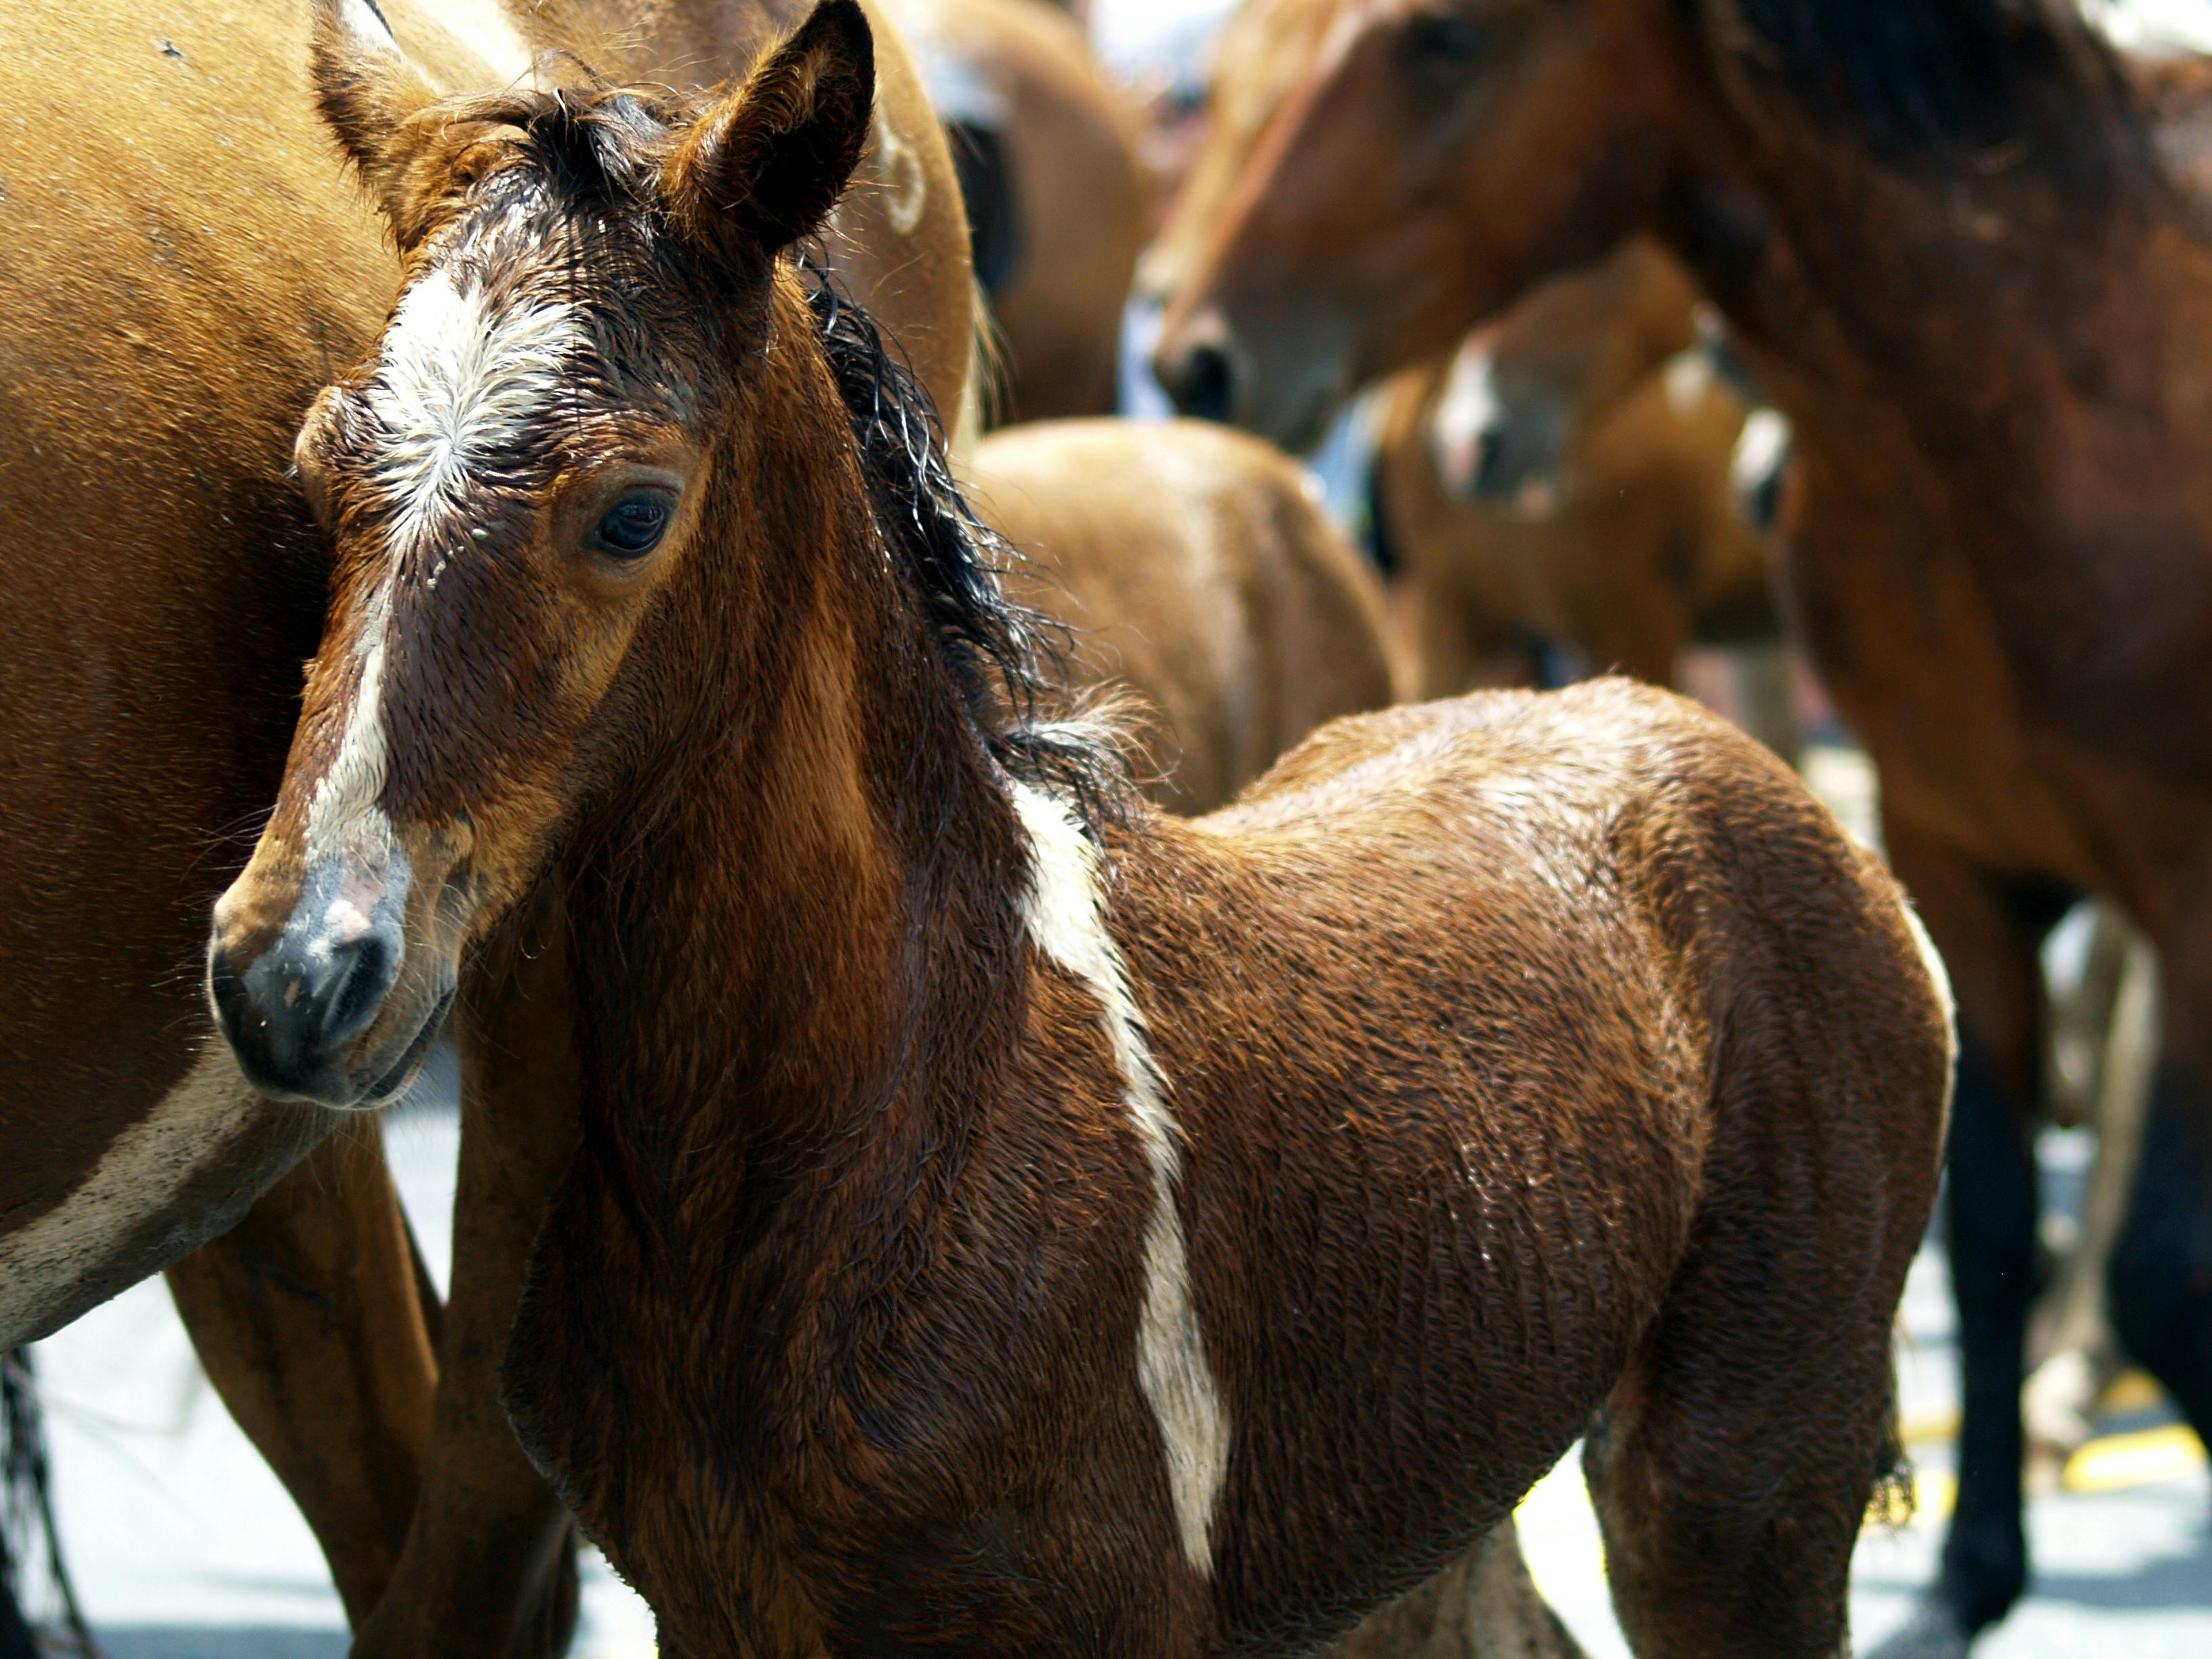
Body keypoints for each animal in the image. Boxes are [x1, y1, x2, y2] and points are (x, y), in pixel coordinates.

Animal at [1151, 1, 2212, 1651]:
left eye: (1442, 40)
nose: (1201, 358)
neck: (2038, 391)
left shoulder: (2184, 874)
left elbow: (2168, 1260)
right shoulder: (1955, 846)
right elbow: (1983, 1229)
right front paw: (1968, 1573)